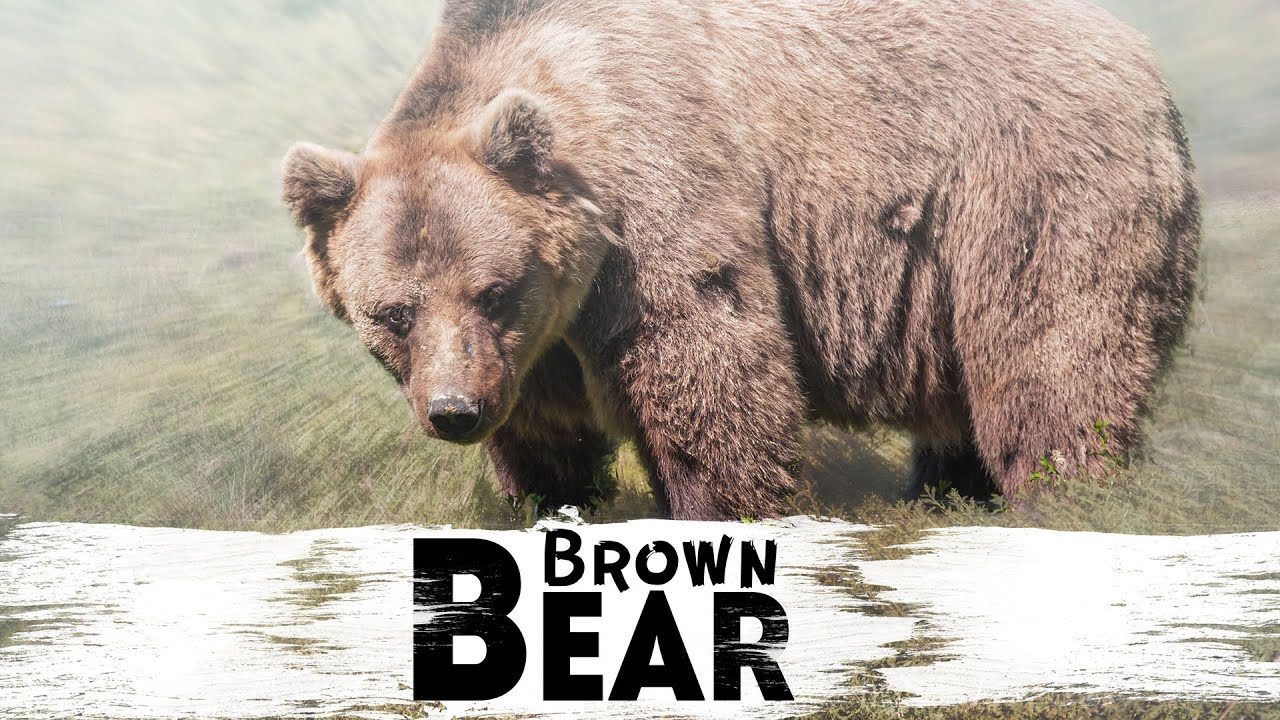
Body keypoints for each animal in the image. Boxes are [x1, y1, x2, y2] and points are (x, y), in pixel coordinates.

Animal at [282, 0, 1200, 520]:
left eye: (493, 290)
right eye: (392, 313)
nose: (453, 411)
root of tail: (1142, 55)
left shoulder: (655, 201)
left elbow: (708, 367)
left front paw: (720, 506)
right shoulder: (536, 344)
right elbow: (545, 430)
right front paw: (545, 498)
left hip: (1025, 191)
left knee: (1052, 362)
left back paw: (1065, 496)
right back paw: (948, 489)